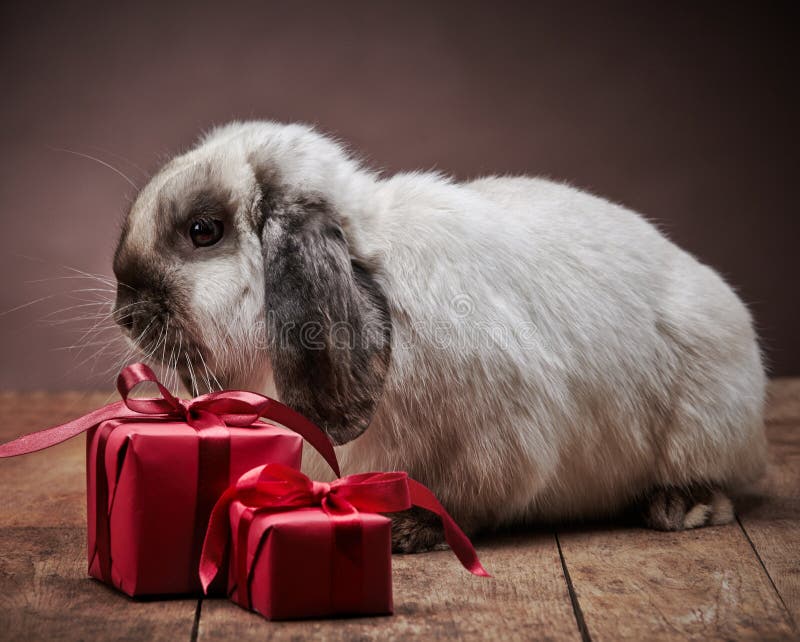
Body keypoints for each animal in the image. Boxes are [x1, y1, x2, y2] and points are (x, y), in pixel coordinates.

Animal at [112, 121, 767, 552]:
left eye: (204, 230)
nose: (124, 310)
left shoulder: (494, 440)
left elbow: (460, 500)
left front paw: (408, 529)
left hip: (705, 426)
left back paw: (681, 507)